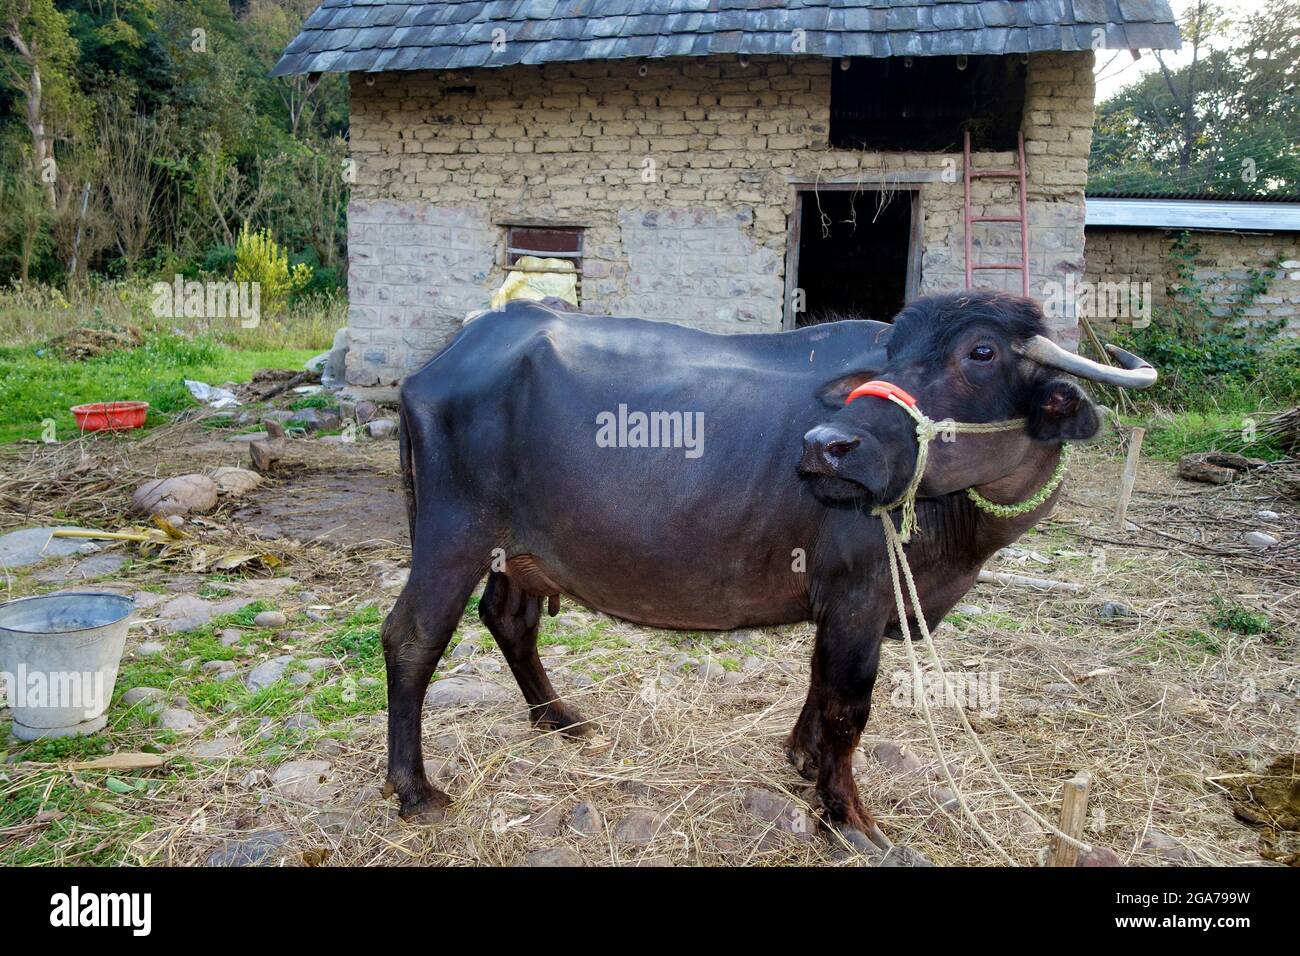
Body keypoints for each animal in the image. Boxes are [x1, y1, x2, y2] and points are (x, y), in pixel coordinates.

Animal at [381, 290, 1155, 852]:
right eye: (894, 351)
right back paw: (415, 789)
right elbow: (849, 705)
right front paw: (849, 818)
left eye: (983, 351)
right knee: (411, 639)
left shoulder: (841, 604)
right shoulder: (859, 594)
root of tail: (442, 361)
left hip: (516, 552)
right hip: (451, 537)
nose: (826, 446)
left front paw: (803, 760)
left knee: (509, 619)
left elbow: (818, 684)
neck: (956, 523)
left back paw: (561, 719)